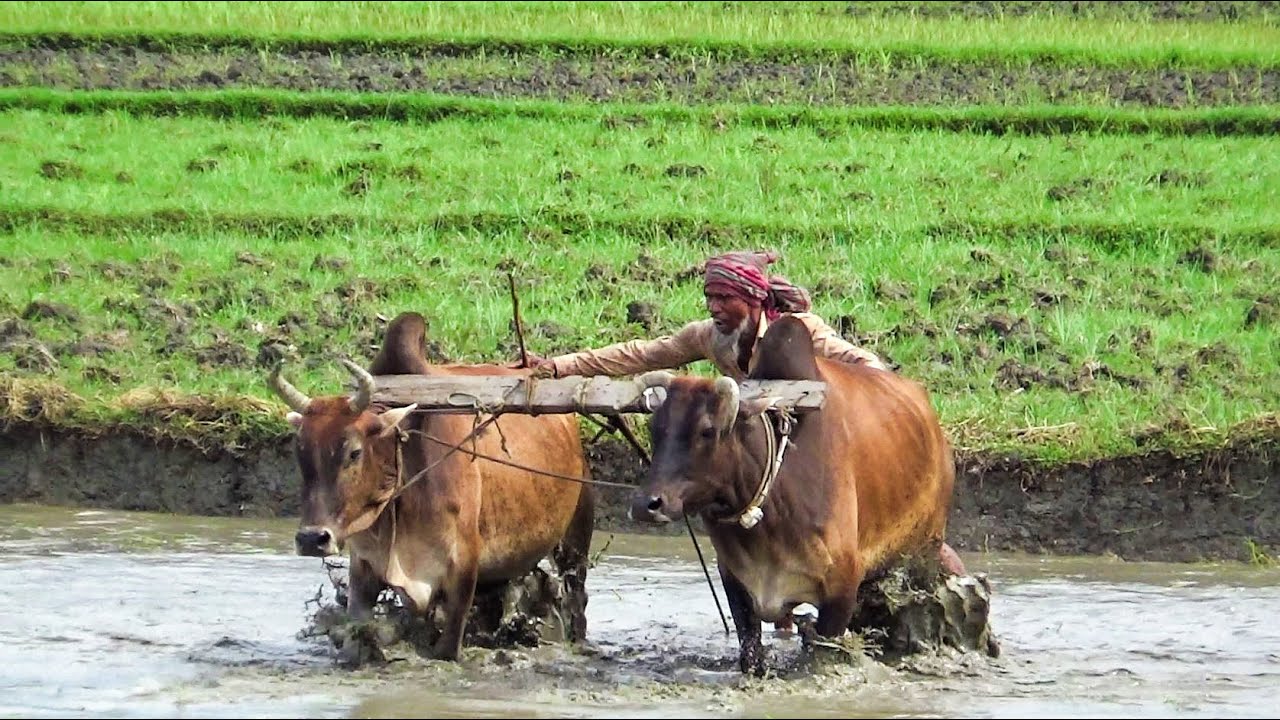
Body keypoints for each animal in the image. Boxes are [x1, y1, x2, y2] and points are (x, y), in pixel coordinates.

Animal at [268, 311, 595, 661]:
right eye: (299, 450)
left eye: (354, 452)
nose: (311, 539)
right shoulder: (364, 570)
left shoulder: (463, 571)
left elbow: (447, 647)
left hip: (575, 542)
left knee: (577, 601)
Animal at [629, 315, 959, 674]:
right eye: (655, 429)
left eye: (707, 430)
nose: (647, 504)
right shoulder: (736, 586)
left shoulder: (840, 593)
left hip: (923, 557)